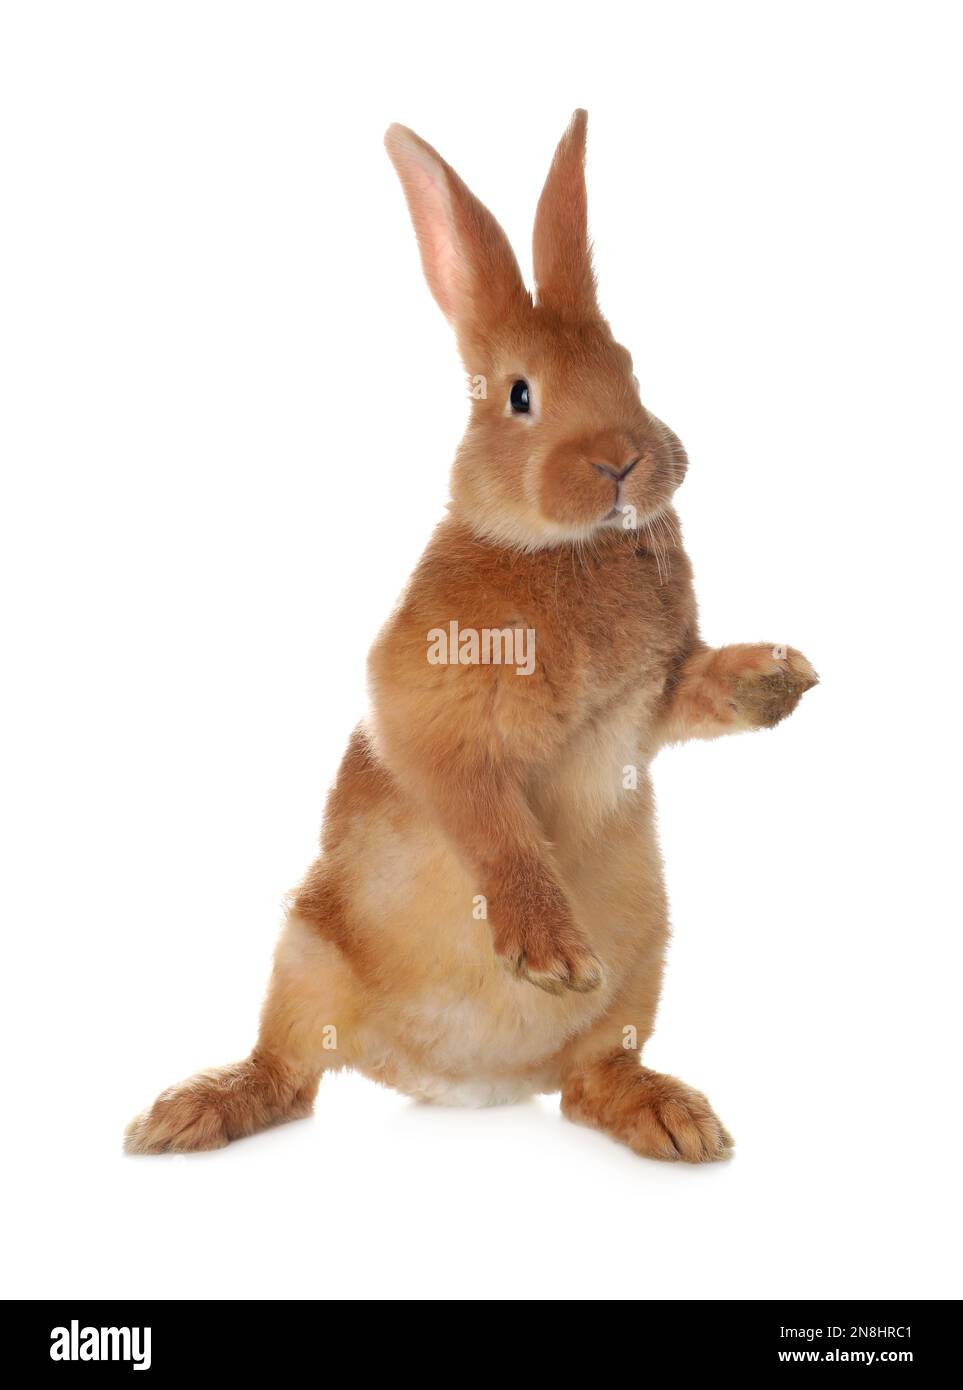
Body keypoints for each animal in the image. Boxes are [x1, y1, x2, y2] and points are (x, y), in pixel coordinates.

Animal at [125, 111, 816, 1161]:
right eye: (519, 395)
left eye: (628, 366)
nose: (622, 459)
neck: (560, 549)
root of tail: (462, 1086)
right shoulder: (434, 721)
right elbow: (492, 825)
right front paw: (549, 951)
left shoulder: (650, 704)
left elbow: (694, 692)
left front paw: (778, 676)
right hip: (304, 951)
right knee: (288, 1071)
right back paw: (190, 1114)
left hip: (647, 956)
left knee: (590, 1078)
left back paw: (670, 1118)